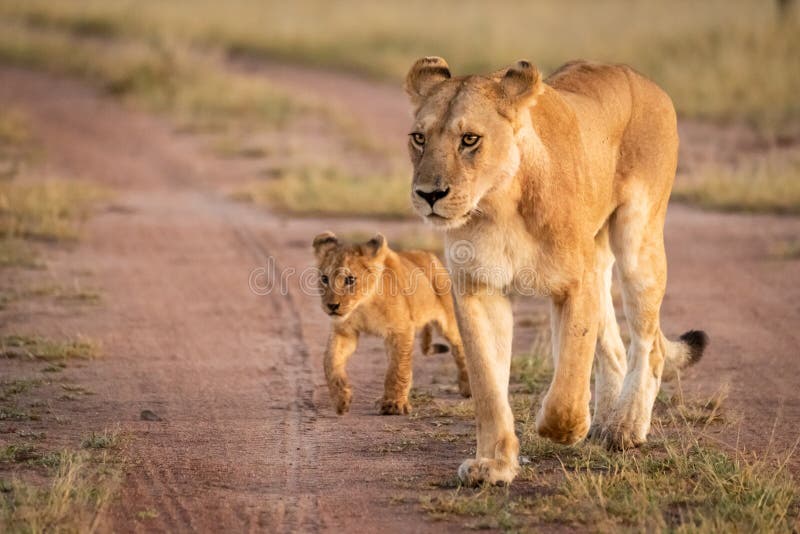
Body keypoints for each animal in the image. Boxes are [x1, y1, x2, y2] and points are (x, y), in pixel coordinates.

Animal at [312, 231, 471, 416]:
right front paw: (341, 399)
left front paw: (394, 404)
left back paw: (468, 387)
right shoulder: (345, 331)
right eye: (324, 279)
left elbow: (397, 369)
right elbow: (330, 361)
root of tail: (430, 255)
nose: (332, 306)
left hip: (448, 321)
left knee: (460, 346)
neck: (363, 305)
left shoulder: (400, 330)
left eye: (350, 280)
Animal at [404, 57, 708, 485]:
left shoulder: (574, 285)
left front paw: (566, 429)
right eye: (419, 138)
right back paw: (607, 421)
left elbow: (569, 376)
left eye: (470, 139)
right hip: (598, 260)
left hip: (638, 242)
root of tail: (644, 80)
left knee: (650, 345)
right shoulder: (478, 289)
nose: (429, 195)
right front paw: (493, 465)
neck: (499, 205)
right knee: (615, 345)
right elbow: (487, 384)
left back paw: (625, 426)